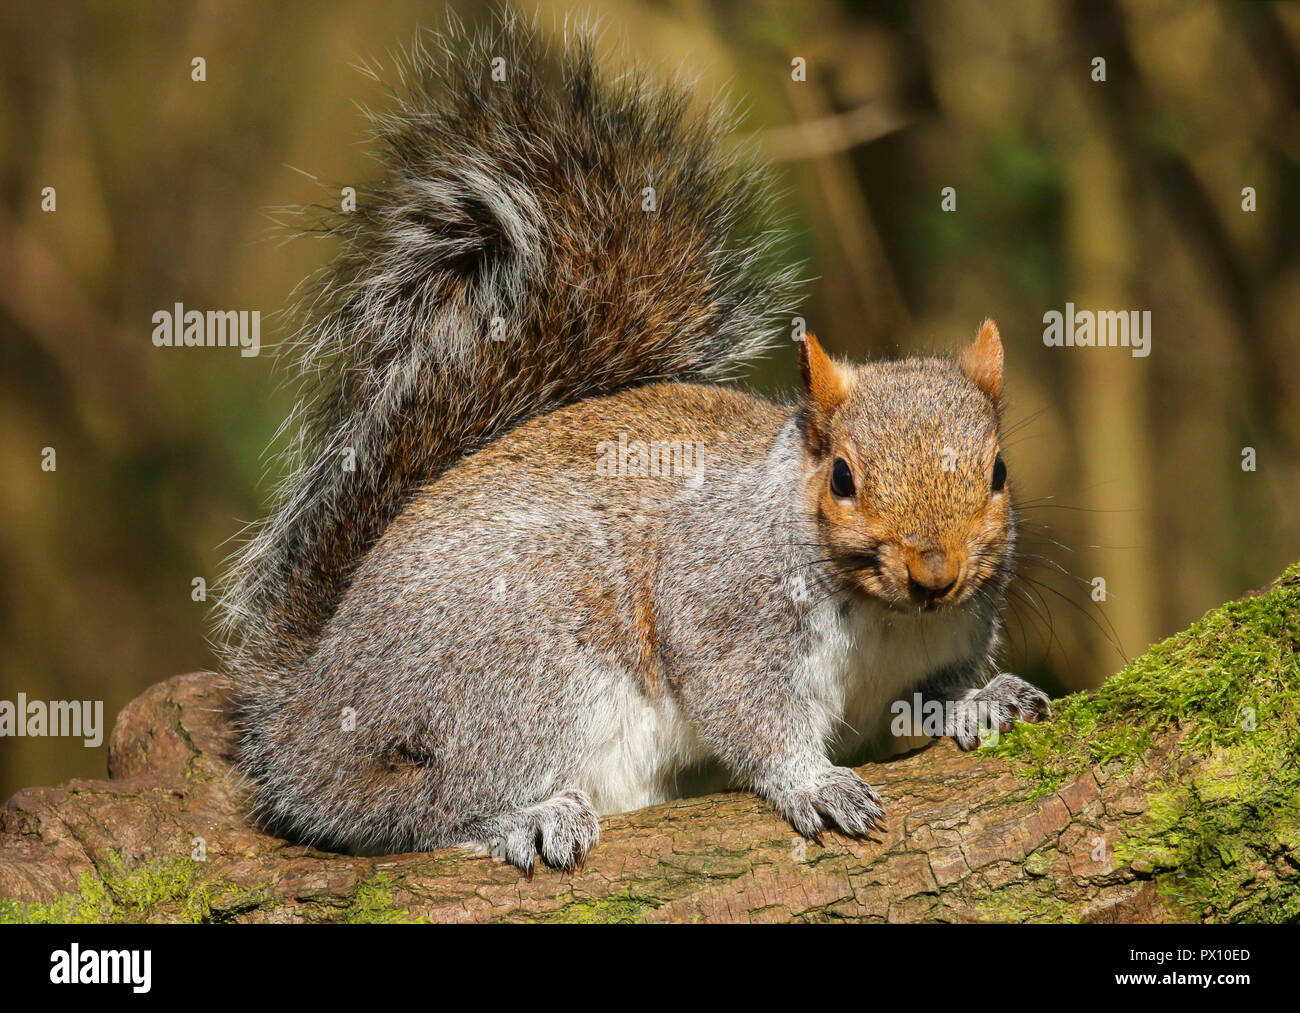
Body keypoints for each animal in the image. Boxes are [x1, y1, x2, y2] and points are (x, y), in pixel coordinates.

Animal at [217, 12, 1050, 874]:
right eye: (844, 478)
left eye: (999, 471)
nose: (935, 574)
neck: (888, 617)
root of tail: (305, 710)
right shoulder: (721, 607)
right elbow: (747, 711)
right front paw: (812, 782)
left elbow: (926, 701)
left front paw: (981, 700)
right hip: (515, 679)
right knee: (408, 807)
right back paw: (521, 815)